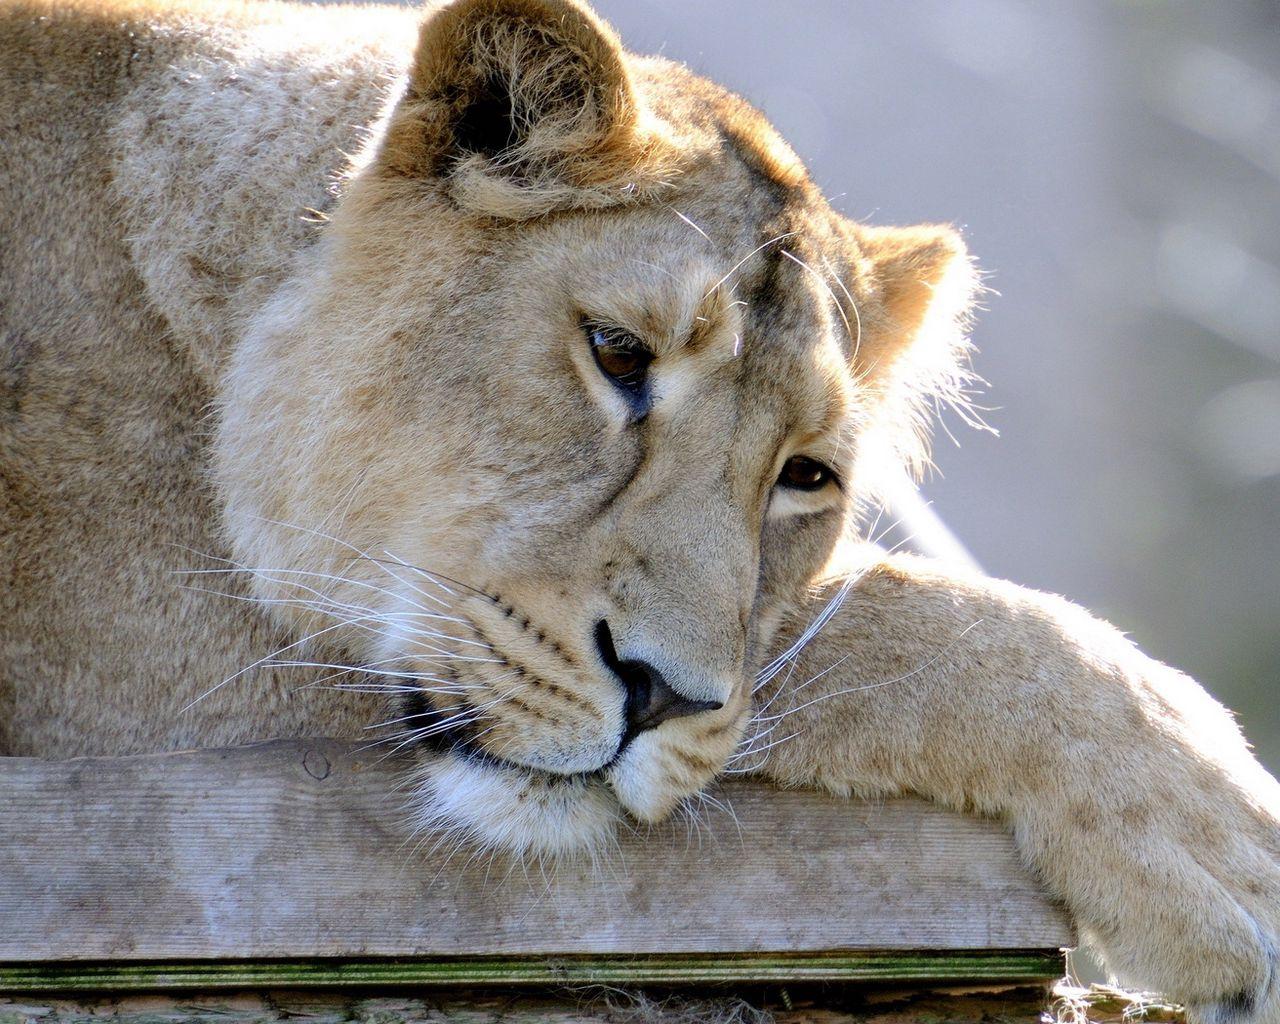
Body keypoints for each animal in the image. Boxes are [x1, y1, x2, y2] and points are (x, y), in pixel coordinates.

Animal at [1, 0, 1277, 1018]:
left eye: (805, 475)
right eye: (617, 353)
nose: (658, 695)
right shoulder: (160, 695)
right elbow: (881, 622)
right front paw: (1227, 839)